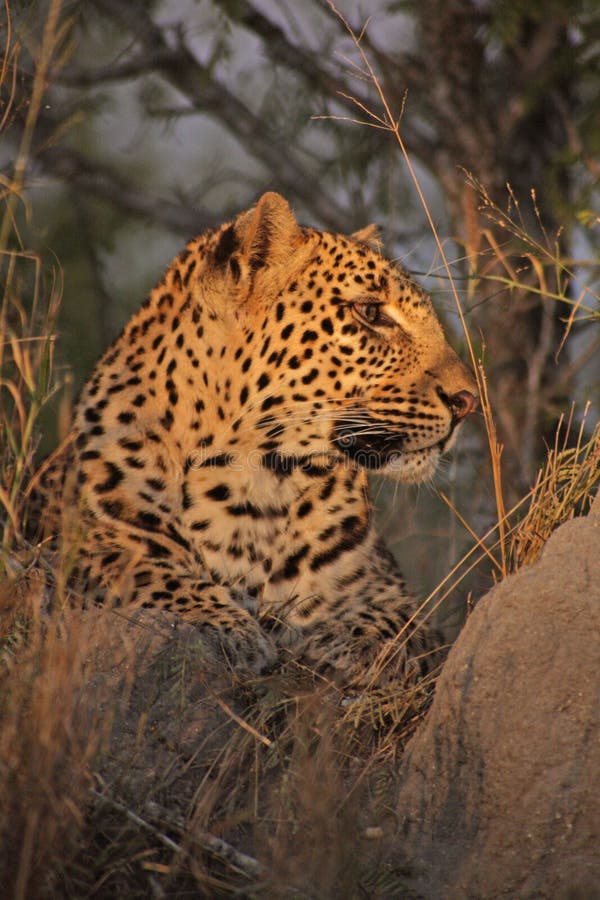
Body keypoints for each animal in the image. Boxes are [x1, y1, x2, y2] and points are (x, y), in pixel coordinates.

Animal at [29, 192, 477, 684]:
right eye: (371, 313)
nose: (468, 401)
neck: (259, 483)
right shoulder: (80, 549)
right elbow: (140, 572)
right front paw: (233, 630)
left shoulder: (391, 594)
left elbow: (398, 623)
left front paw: (349, 642)